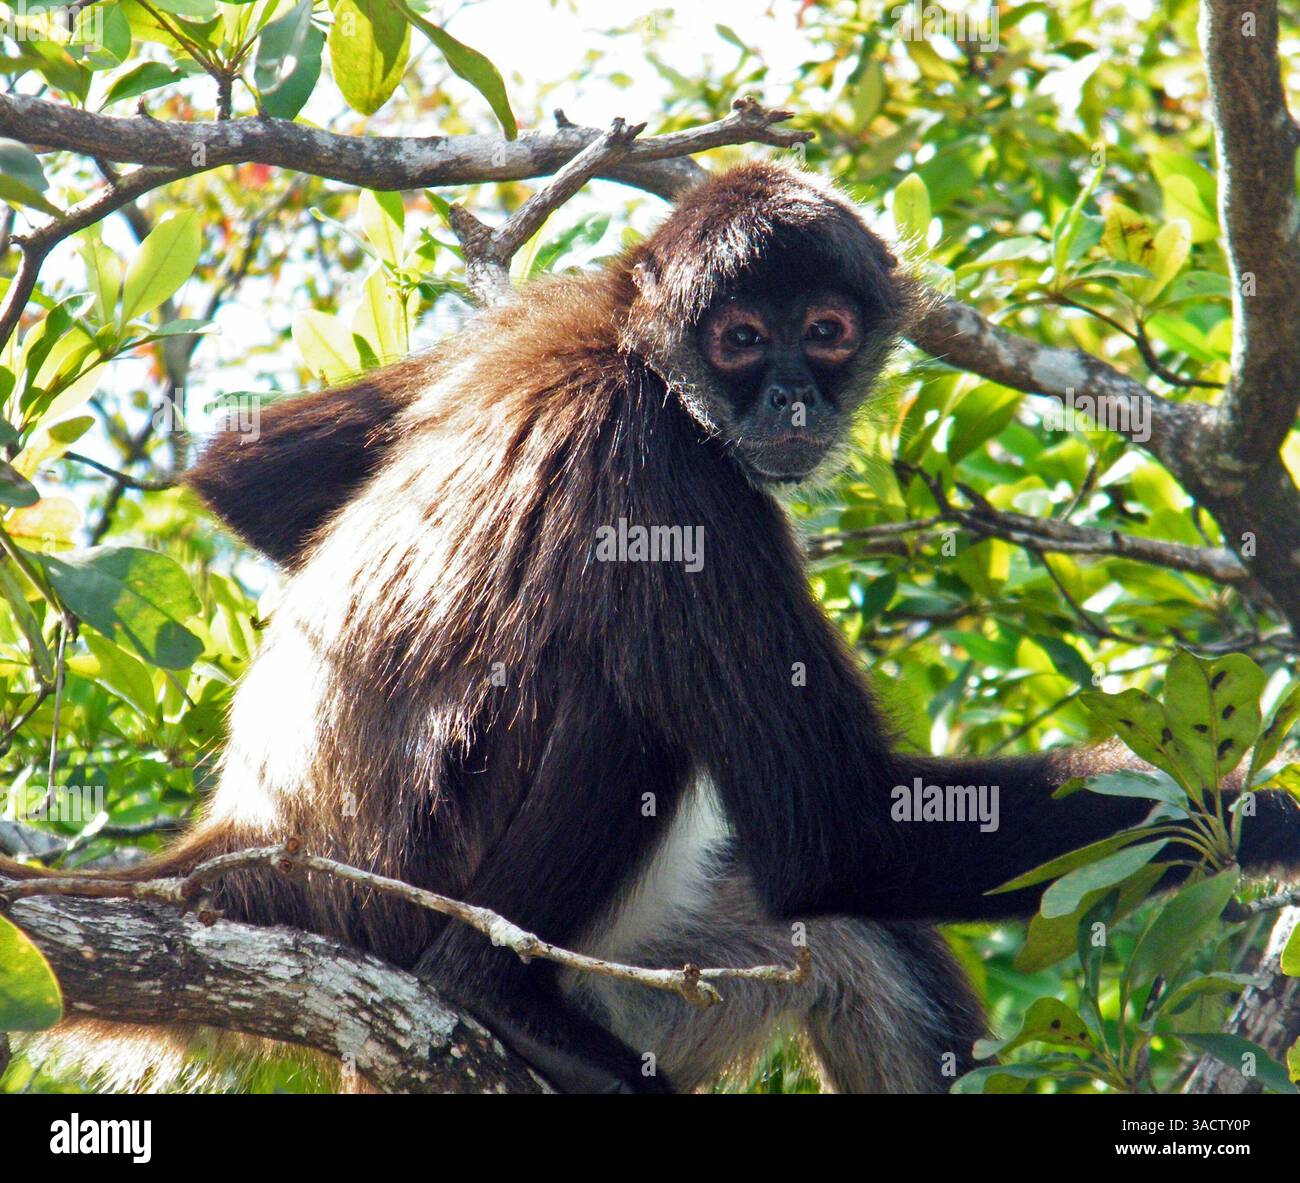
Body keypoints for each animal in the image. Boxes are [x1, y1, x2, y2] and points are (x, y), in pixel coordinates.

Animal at [5, 161, 1300, 1093]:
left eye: (825, 330)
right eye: (740, 340)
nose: (791, 396)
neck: (633, 354)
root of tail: (257, 833)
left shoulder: (560, 296)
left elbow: (241, 470)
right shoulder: (673, 478)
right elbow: (835, 827)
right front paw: (1260, 820)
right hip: (413, 876)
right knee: (620, 700)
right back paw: (488, 990)